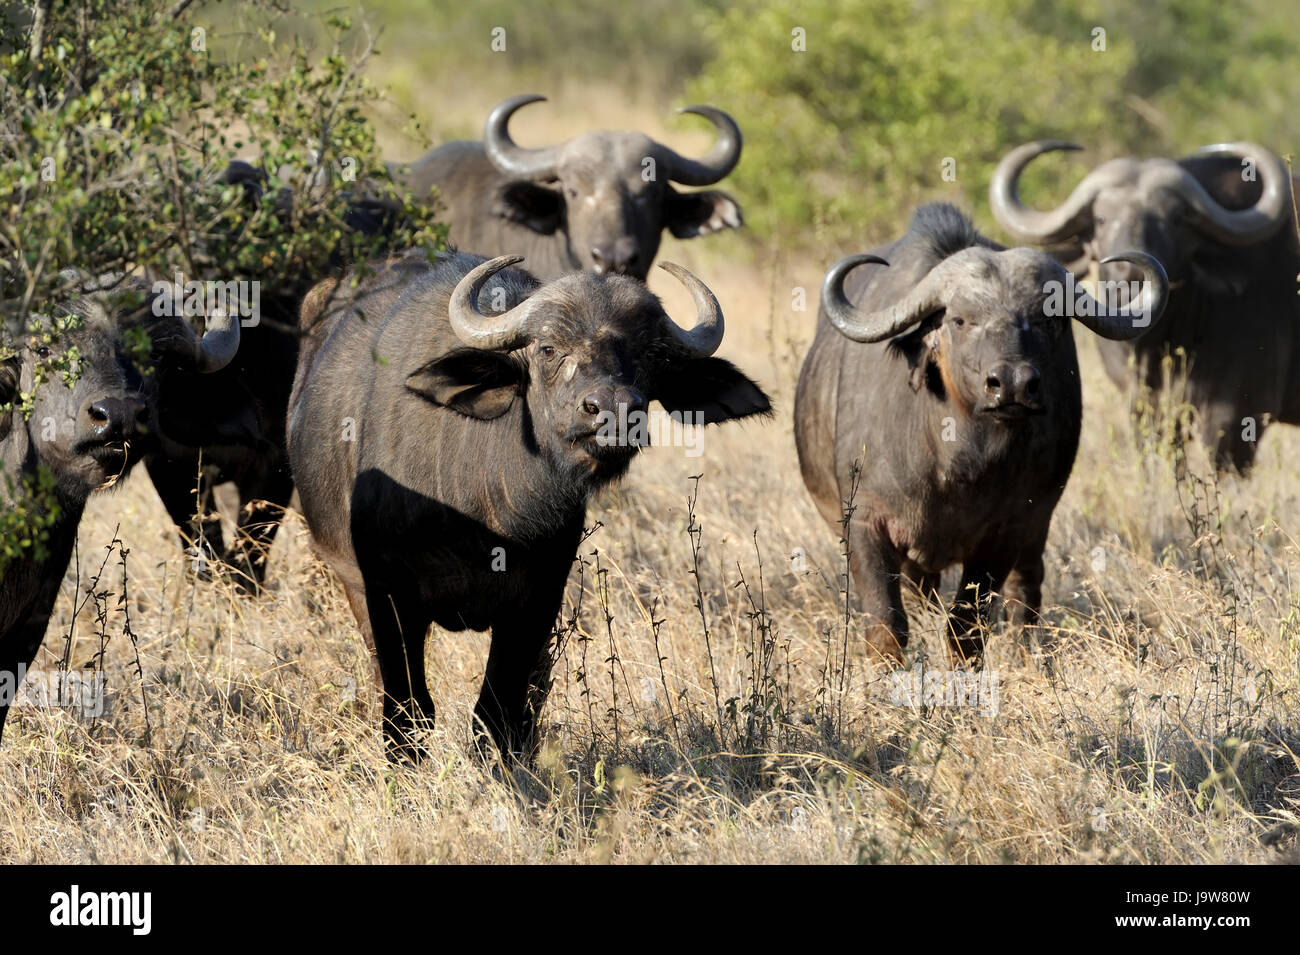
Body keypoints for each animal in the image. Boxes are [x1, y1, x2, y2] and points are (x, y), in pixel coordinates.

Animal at [287, 251, 772, 762]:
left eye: (650, 355)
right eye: (549, 349)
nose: (614, 410)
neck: (491, 509)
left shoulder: (539, 598)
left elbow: (496, 714)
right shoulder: (389, 592)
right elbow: (409, 711)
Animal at [793, 204, 1168, 664]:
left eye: (1048, 319)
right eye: (960, 319)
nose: (1011, 384)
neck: (955, 463)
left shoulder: (1004, 532)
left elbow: (967, 627)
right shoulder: (865, 523)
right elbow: (887, 624)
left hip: (1036, 526)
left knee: (1026, 591)